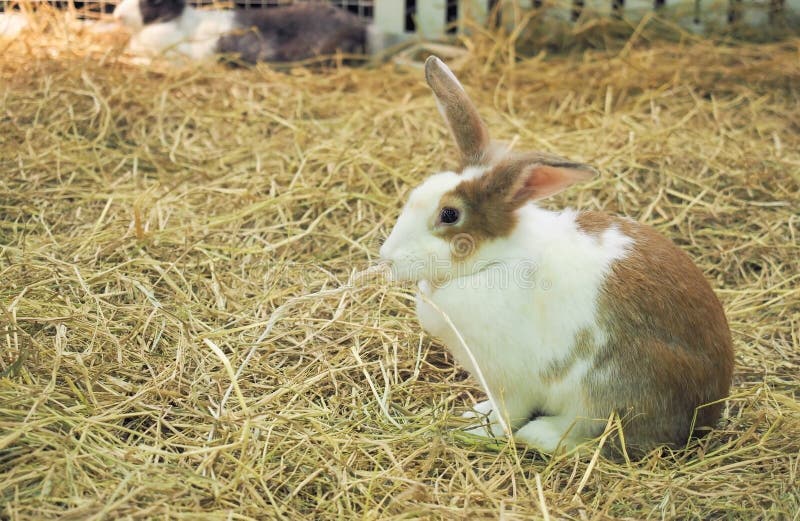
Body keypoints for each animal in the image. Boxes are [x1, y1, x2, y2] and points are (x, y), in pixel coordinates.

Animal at [379, 56, 734, 457]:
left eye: (449, 215)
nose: (386, 258)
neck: (495, 261)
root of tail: (708, 411)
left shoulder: (509, 380)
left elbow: (508, 414)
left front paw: (480, 431)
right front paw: (475, 413)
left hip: (608, 387)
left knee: (598, 435)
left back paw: (541, 435)